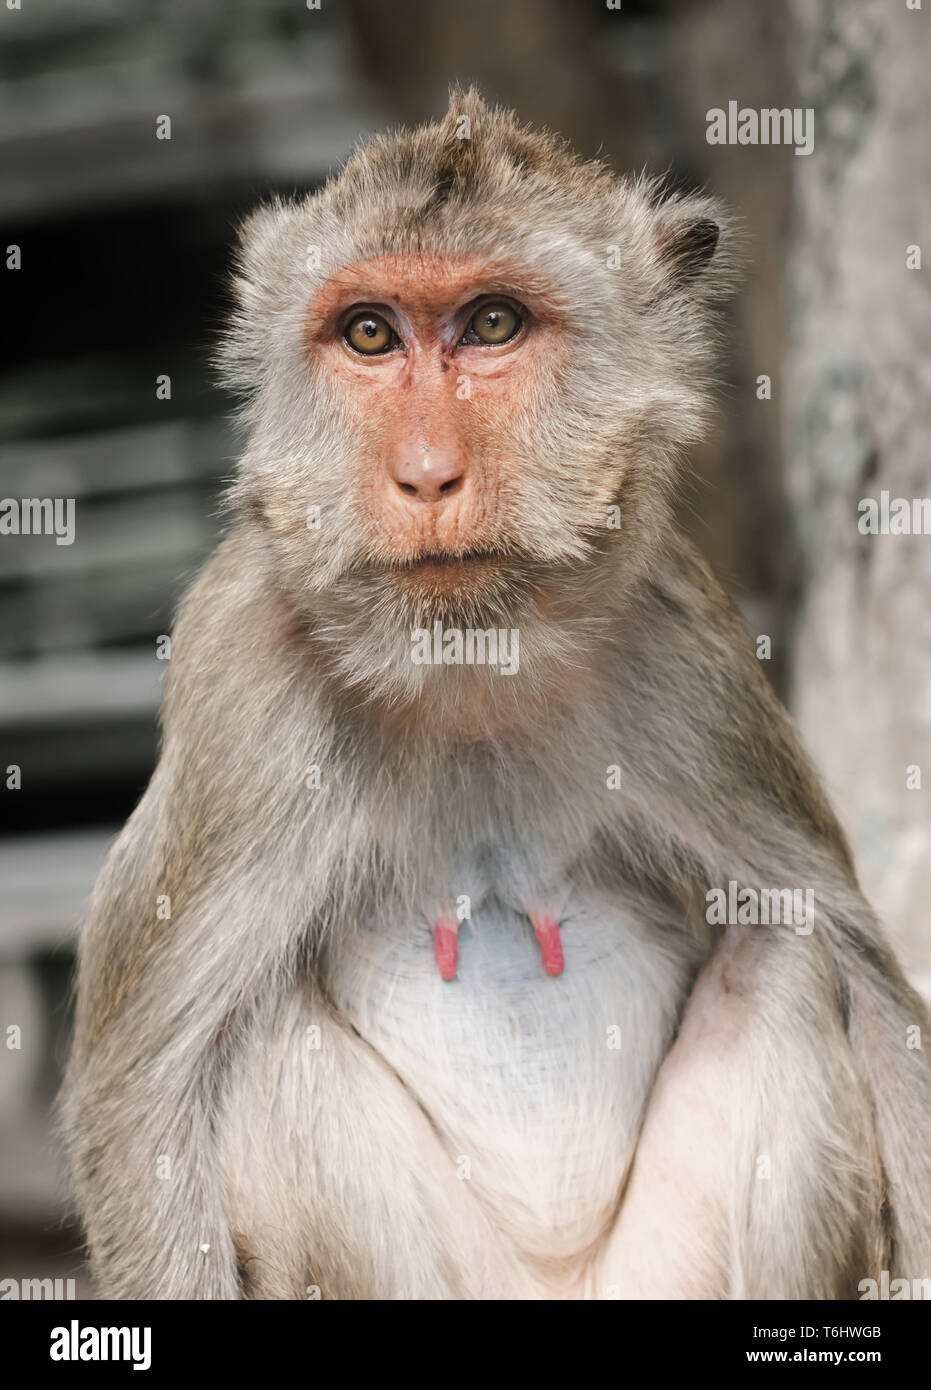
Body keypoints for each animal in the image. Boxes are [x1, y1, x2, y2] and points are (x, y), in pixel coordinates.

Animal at [59, 89, 931, 1301]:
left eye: (492, 326)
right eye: (369, 335)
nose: (426, 474)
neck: (470, 665)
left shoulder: (690, 656)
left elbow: (872, 991)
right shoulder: (241, 677)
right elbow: (143, 1097)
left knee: (788, 949)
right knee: (256, 1032)